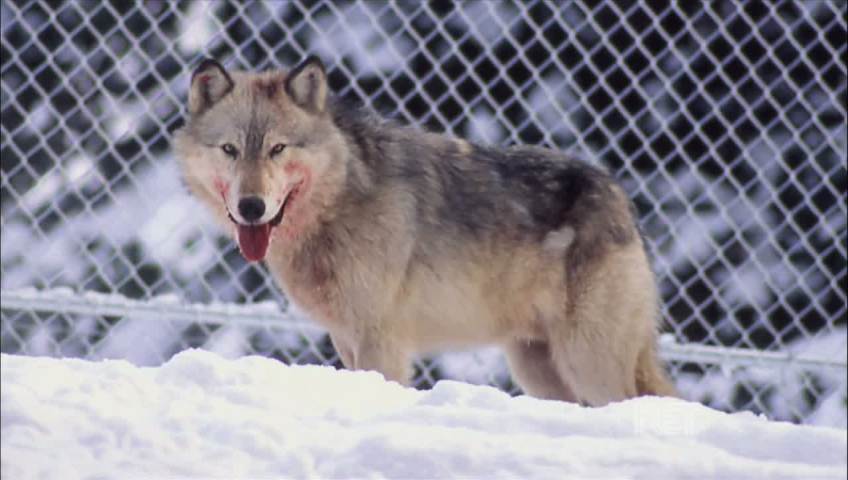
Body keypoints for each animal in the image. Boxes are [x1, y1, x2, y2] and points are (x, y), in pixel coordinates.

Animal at [173, 56, 677, 406]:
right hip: (538, 368)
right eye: (230, 150)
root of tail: (620, 196)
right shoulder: (345, 339)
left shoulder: (380, 339)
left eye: (277, 149)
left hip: (587, 360)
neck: (341, 199)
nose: (252, 207)